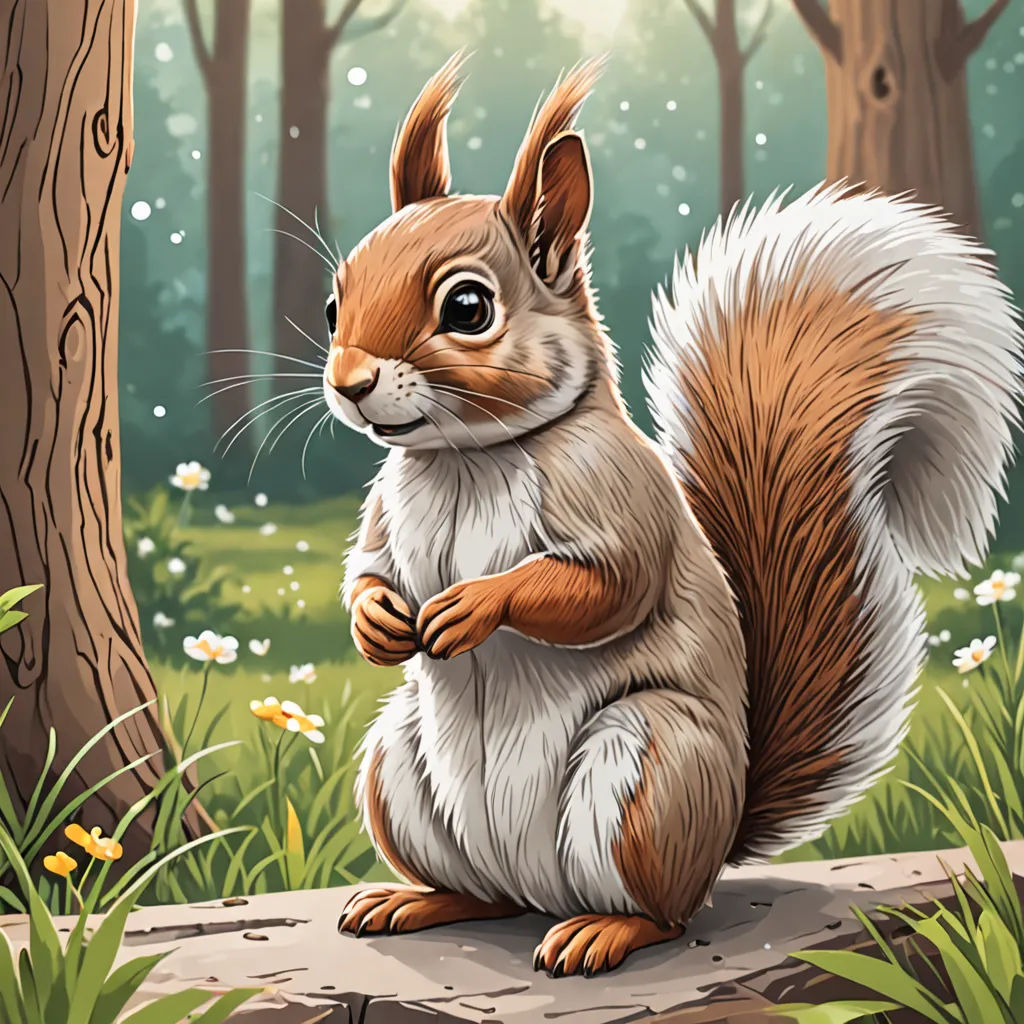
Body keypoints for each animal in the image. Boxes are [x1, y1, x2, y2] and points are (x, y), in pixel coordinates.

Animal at [326, 53, 1024, 976]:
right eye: (334, 304)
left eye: (468, 308)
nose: (348, 382)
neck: (465, 460)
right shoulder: (384, 514)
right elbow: (368, 574)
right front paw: (377, 624)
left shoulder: (622, 498)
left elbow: (606, 590)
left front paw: (474, 605)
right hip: (400, 769)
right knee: (482, 893)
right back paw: (416, 898)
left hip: (647, 771)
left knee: (664, 911)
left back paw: (601, 932)